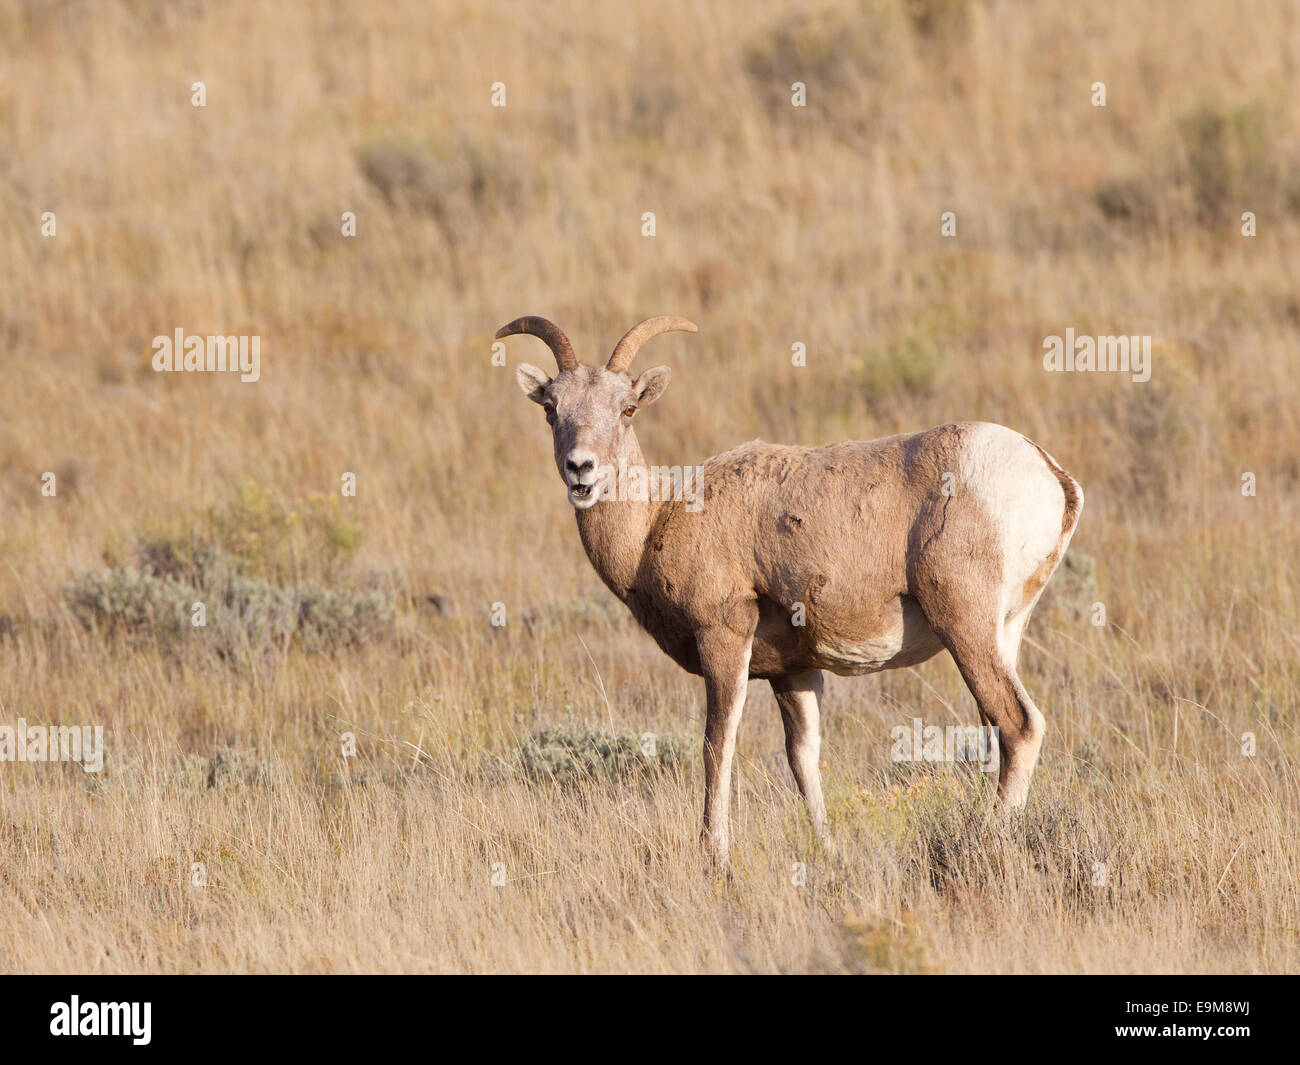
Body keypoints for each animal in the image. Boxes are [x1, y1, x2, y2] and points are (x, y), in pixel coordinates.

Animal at [499, 314, 1083, 863]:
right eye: (552, 409)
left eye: (626, 409)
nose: (581, 469)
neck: (660, 519)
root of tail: (1049, 474)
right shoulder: (795, 674)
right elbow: (804, 759)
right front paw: (827, 850)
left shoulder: (724, 640)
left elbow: (717, 746)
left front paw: (715, 854)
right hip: (1005, 632)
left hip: (965, 626)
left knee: (1018, 724)